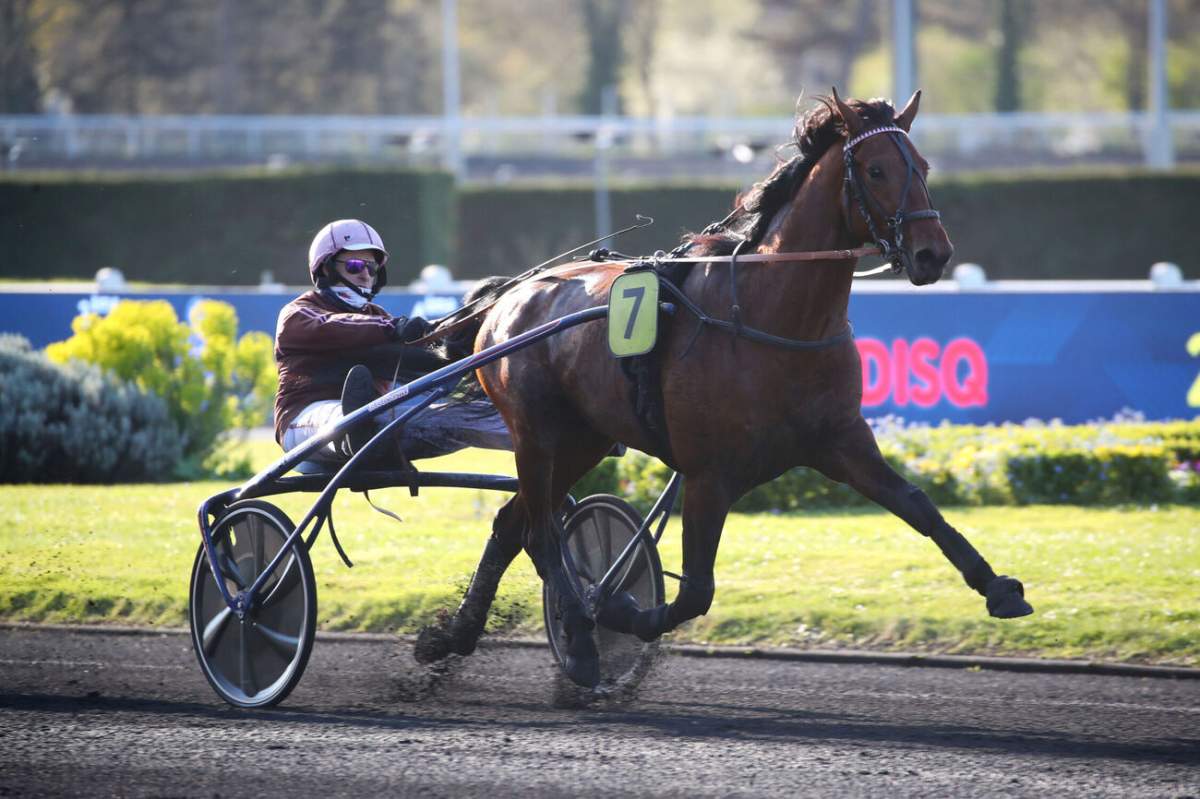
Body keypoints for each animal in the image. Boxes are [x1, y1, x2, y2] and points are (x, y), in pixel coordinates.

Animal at [414, 89, 1034, 687]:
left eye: (923, 165)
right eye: (877, 170)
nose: (934, 252)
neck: (773, 317)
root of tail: (508, 297)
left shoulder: (841, 442)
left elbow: (918, 505)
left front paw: (998, 586)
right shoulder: (709, 474)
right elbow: (695, 591)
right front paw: (616, 609)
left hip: (580, 439)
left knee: (511, 524)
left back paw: (456, 636)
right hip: (537, 435)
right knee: (541, 533)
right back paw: (582, 642)